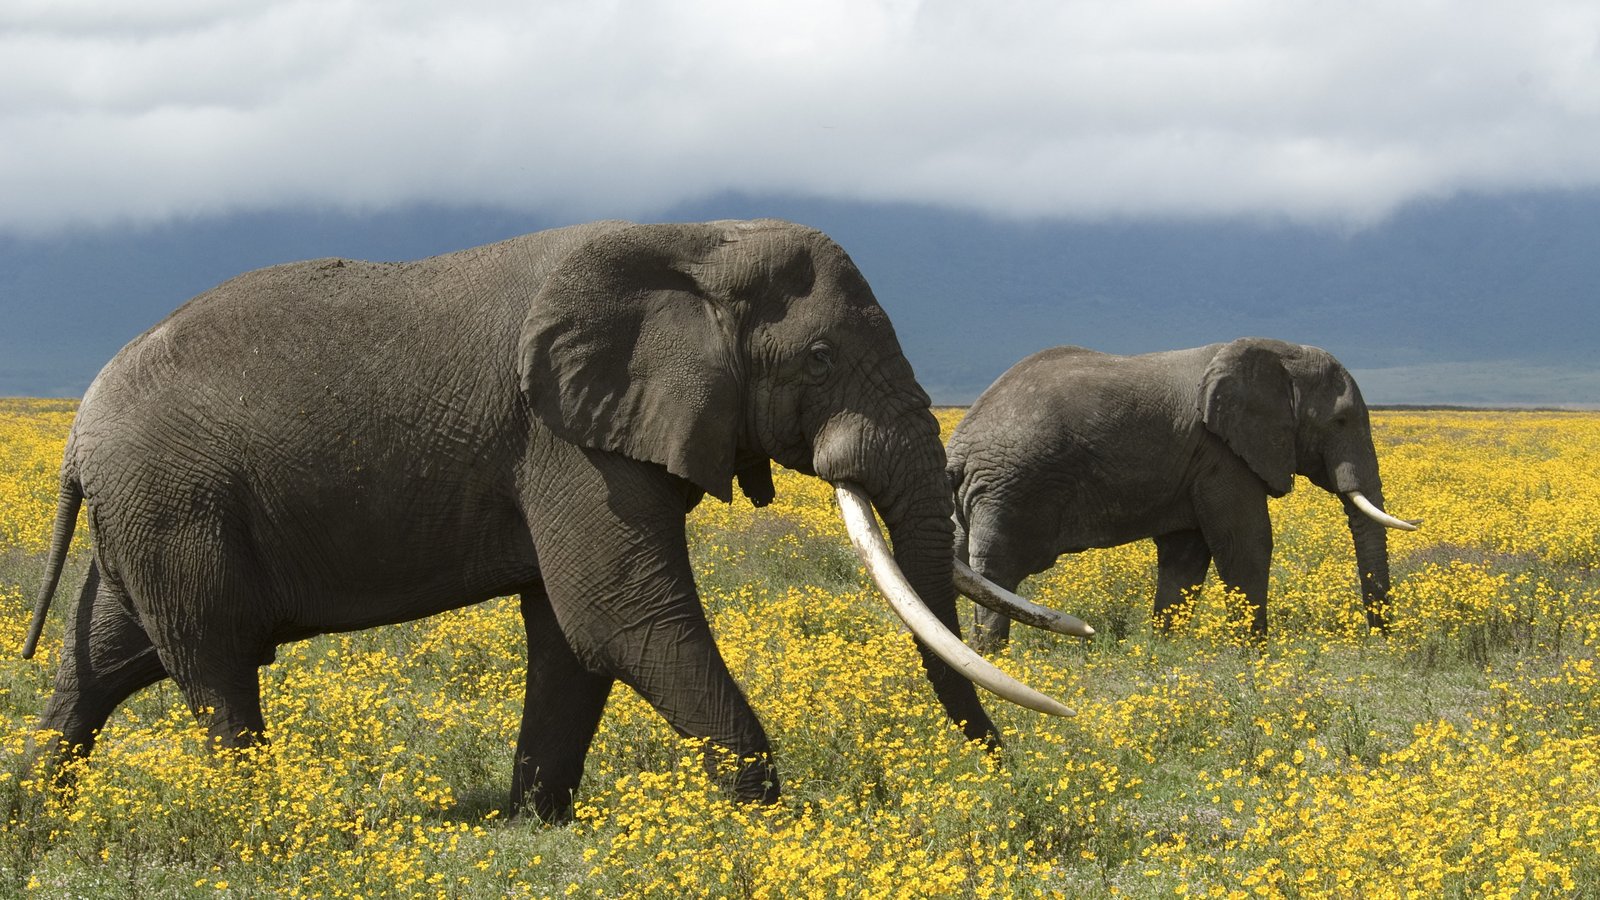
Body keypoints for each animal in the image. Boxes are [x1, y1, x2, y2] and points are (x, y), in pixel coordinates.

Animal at [20, 219, 1080, 822]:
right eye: (819, 359)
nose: (1000, 773)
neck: (696, 242)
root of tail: (78, 434)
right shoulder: (563, 438)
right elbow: (619, 616)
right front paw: (763, 821)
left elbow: (572, 637)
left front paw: (535, 823)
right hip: (175, 504)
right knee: (211, 662)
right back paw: (263, 824)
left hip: (154, 511)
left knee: (110, 658)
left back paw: (35, 816)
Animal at [946, 338, 1418, 648]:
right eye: (1340, 421)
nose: (1381, 643)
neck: (1278, 352)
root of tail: (960, 446)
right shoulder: (1222, 454)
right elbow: (1246, 543)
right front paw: (1254, 654)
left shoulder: (1197, 464)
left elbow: (1186, 555)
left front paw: (1164, 649)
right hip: (1010, 488)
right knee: (997, 571)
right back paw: (992, 655)